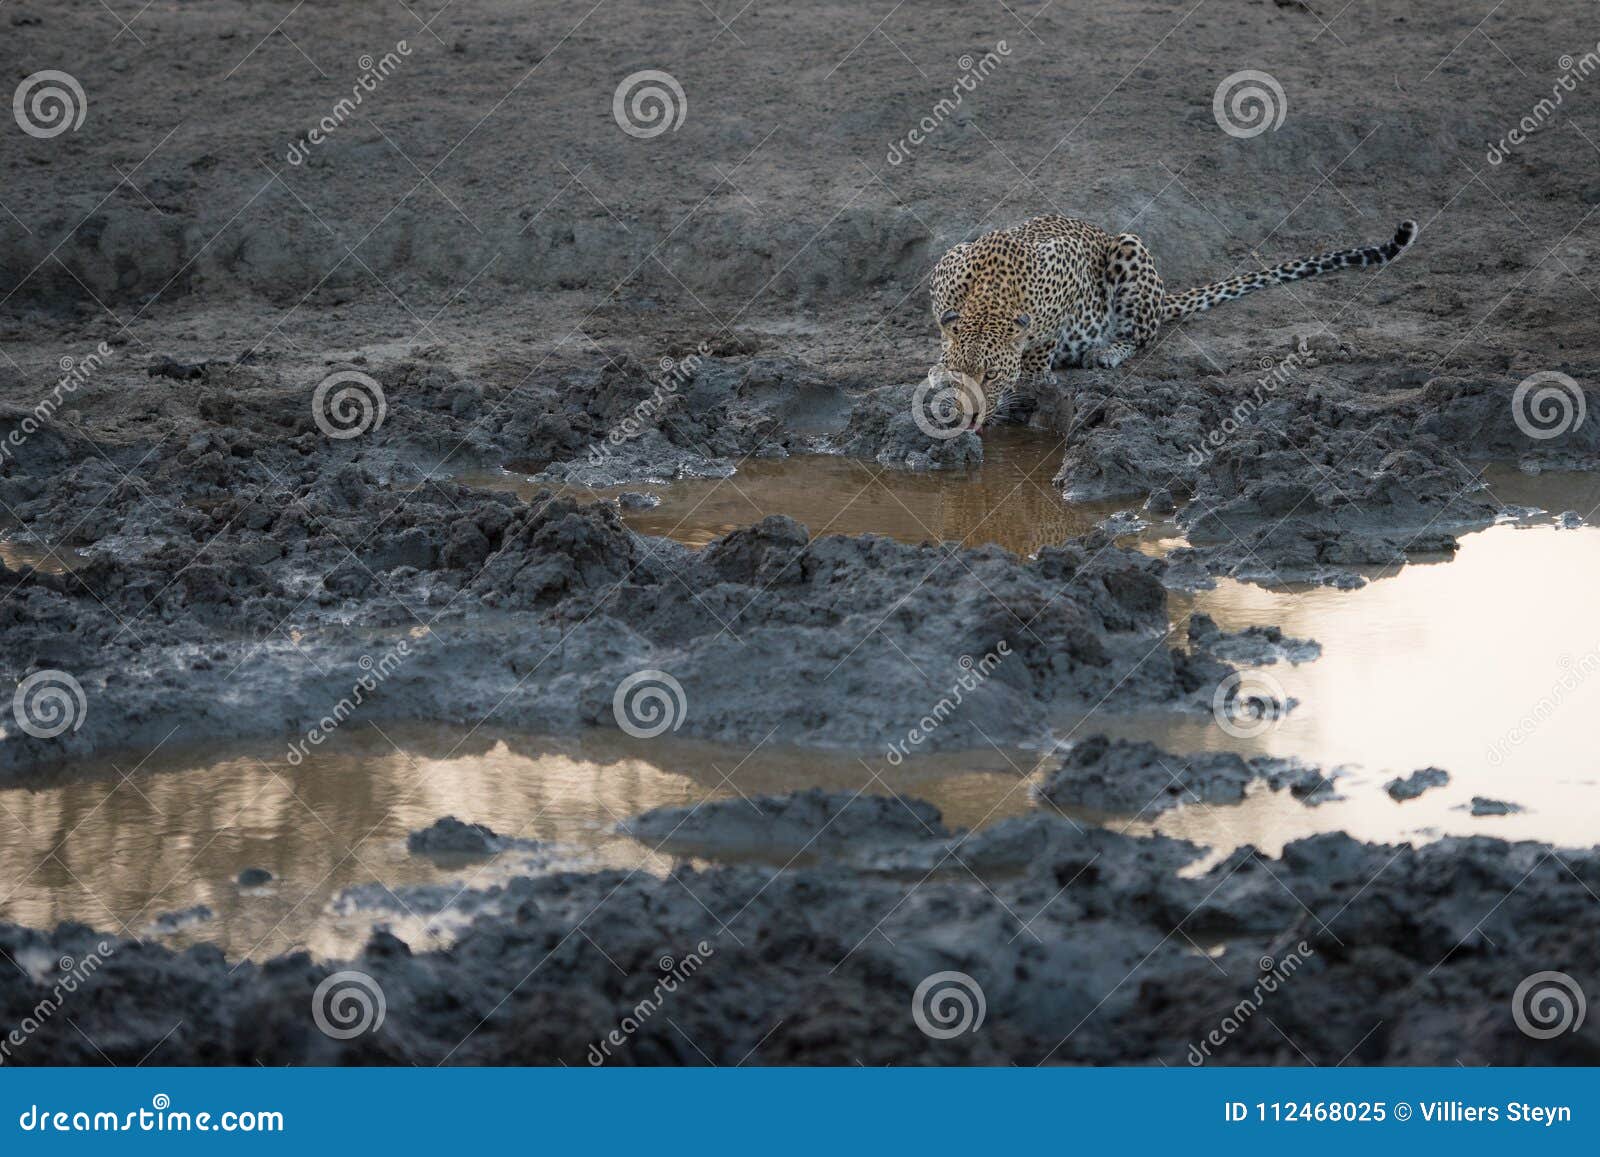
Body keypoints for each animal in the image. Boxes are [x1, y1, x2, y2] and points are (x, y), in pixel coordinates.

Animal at [928, 214, 1417, 428]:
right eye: (961, 374)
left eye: (990, 376)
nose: (968, 414)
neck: (988, 298)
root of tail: (1164, 297)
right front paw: (937, 371)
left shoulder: (1065, 277)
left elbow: (1040, 348)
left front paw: (1033, 378)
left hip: (1129, 249)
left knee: (1144, 333)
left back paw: (1107, 351)